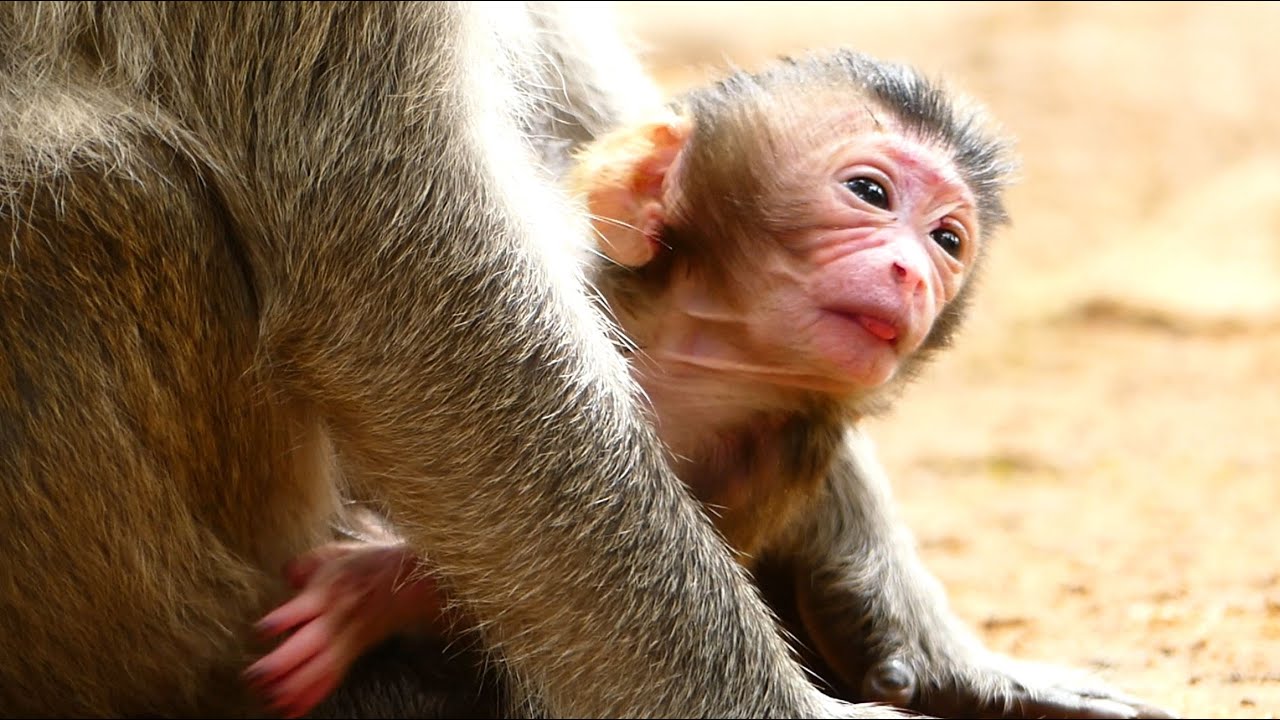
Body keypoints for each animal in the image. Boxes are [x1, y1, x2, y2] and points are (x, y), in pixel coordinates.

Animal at [242, 49, 1177, 720]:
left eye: (949, 240)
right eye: (869, 191)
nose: (915, 273)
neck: (702, 373)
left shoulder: (778, 452)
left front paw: (367, 595)